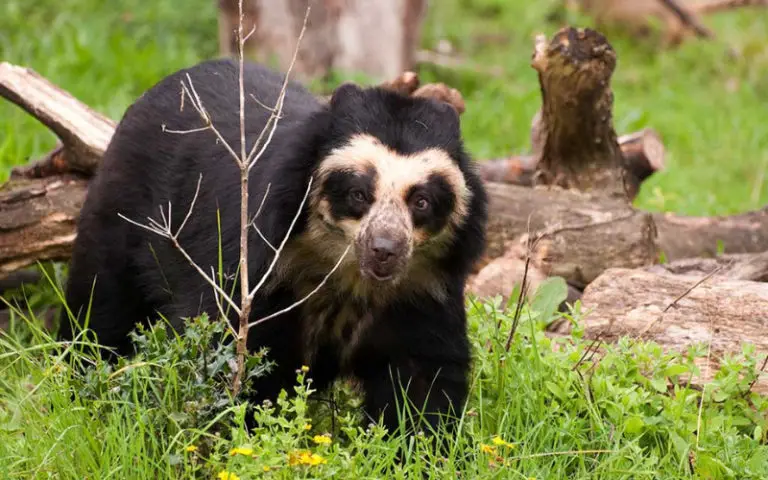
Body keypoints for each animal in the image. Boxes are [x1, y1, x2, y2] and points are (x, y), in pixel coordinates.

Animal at [59, 57, 488, 436]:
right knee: (102, 304)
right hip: (124, 212)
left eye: (422, 201)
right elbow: (232, 348)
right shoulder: (260, 264)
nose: (385, 249)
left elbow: (423, 375)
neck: (343, 270)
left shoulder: (423, 286)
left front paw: (418, 447)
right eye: (357, 193)